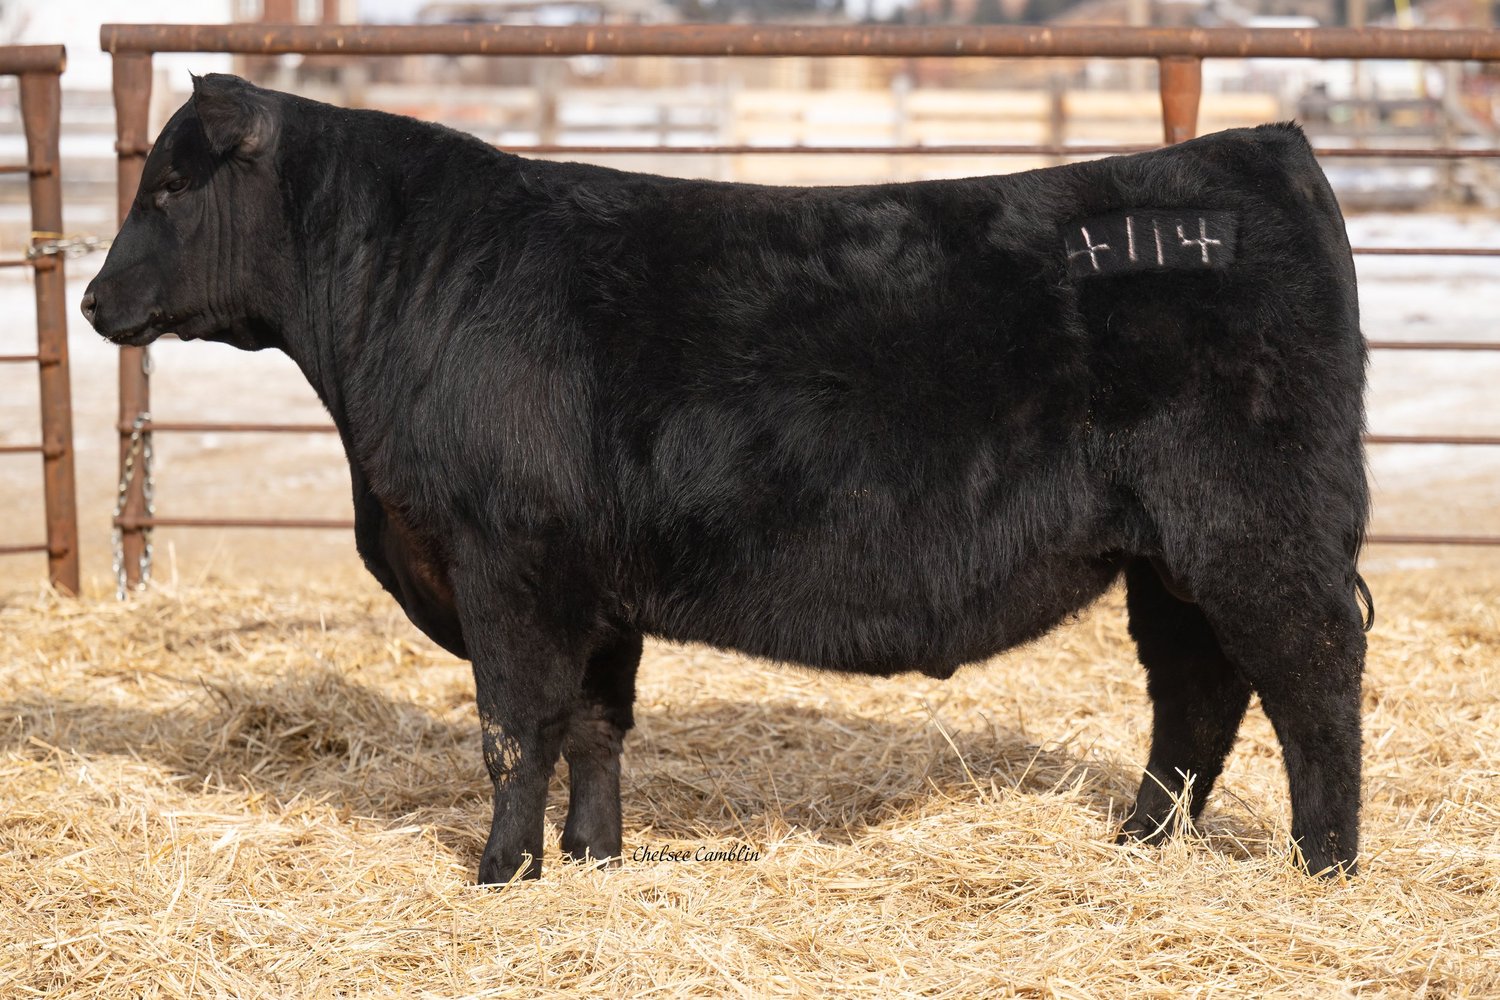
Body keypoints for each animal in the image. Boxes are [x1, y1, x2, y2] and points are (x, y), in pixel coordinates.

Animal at [83, 74, 1372, 884]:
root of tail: (1266, 149)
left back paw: (1326, 864)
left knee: (1312, 678)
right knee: (1196, 691)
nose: (93, 300)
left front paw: (500, 871)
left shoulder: (507, 561)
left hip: (1260, 531)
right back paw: (1139, 843)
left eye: (172, 188)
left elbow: (513, 726)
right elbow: (594, 724)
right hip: (1169, 556)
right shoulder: (590, 582)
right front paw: (592, 858)